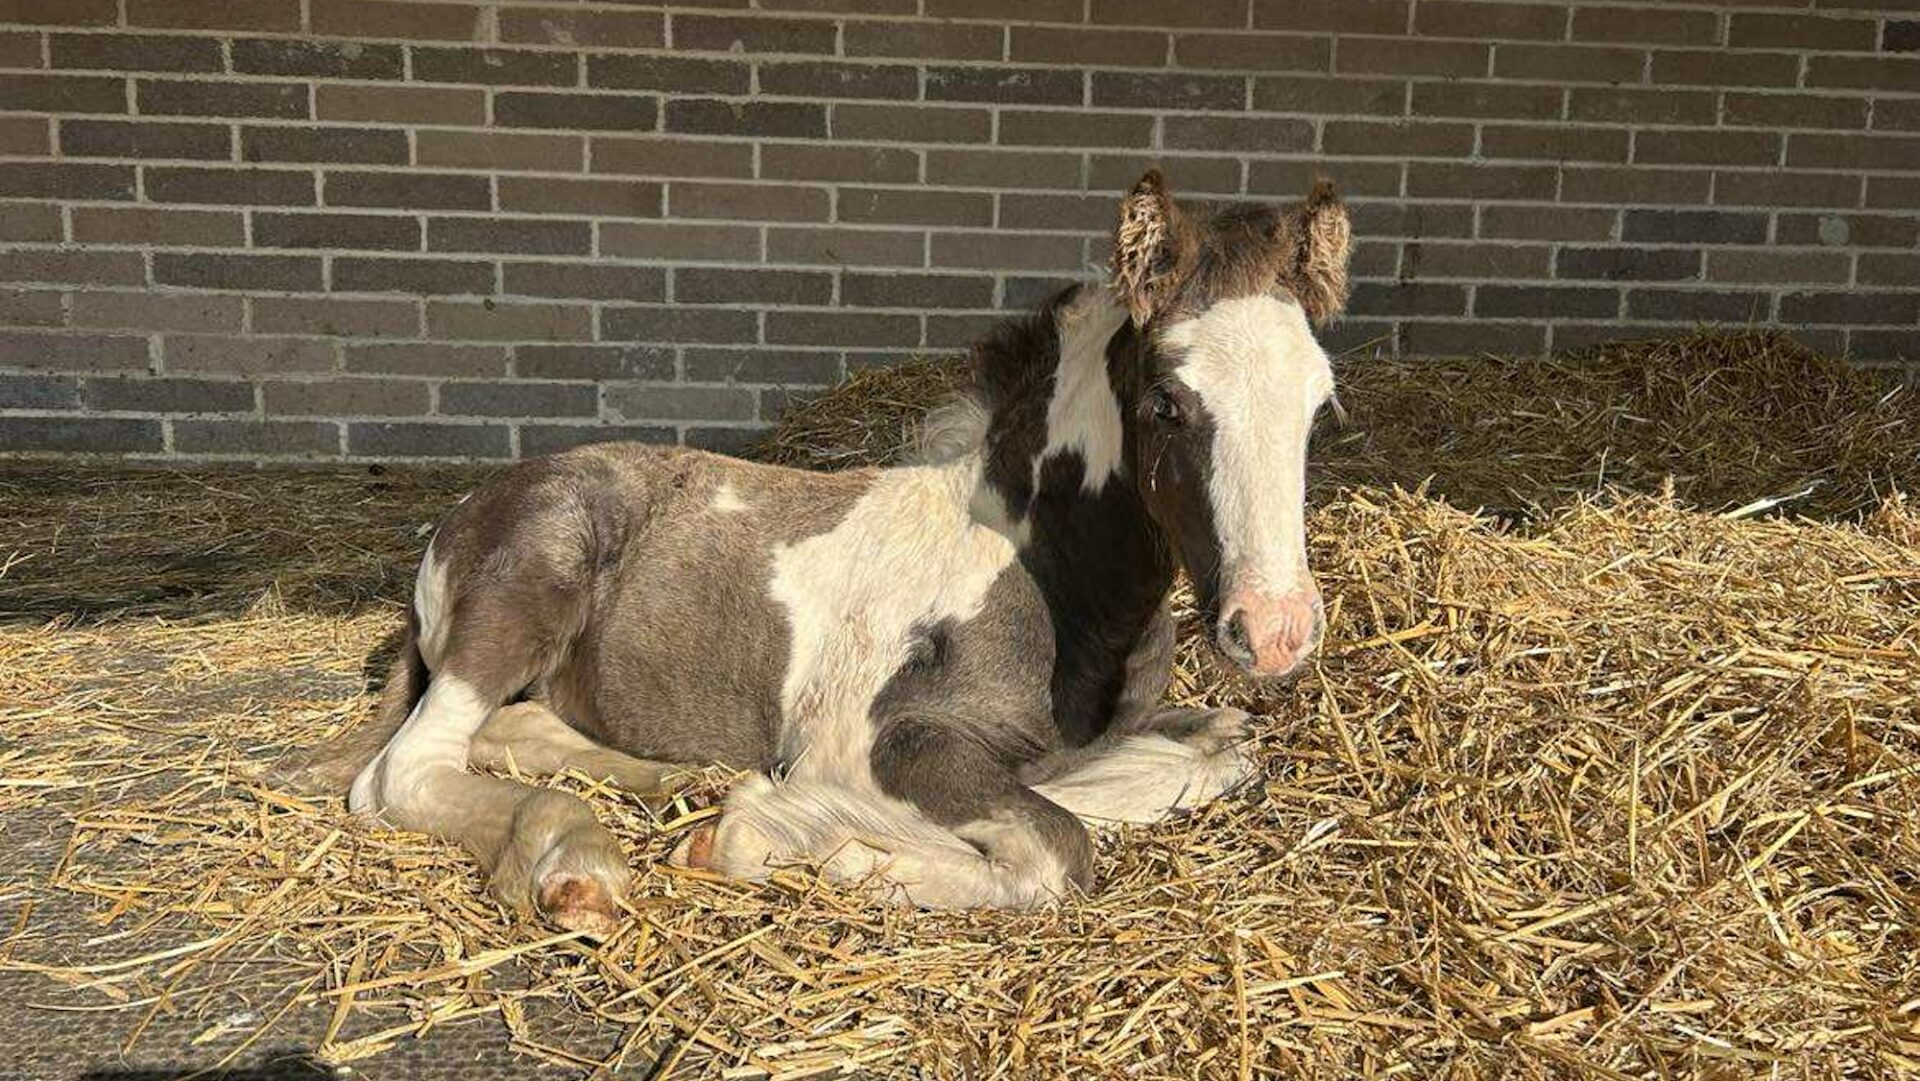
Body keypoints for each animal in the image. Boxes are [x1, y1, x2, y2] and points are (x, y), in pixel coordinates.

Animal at [272, 170, 1352, 938]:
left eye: (1319, 404)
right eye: (1168, 402)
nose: (1276, 630)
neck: (1055, 580)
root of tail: (463, 510)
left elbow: (1217, 754)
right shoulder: (888, 739)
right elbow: (1059, 844)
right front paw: (824, 843)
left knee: (515, 728)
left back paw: (676, 787)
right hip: (528, 584)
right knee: (403, 770)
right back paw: (582, 860)